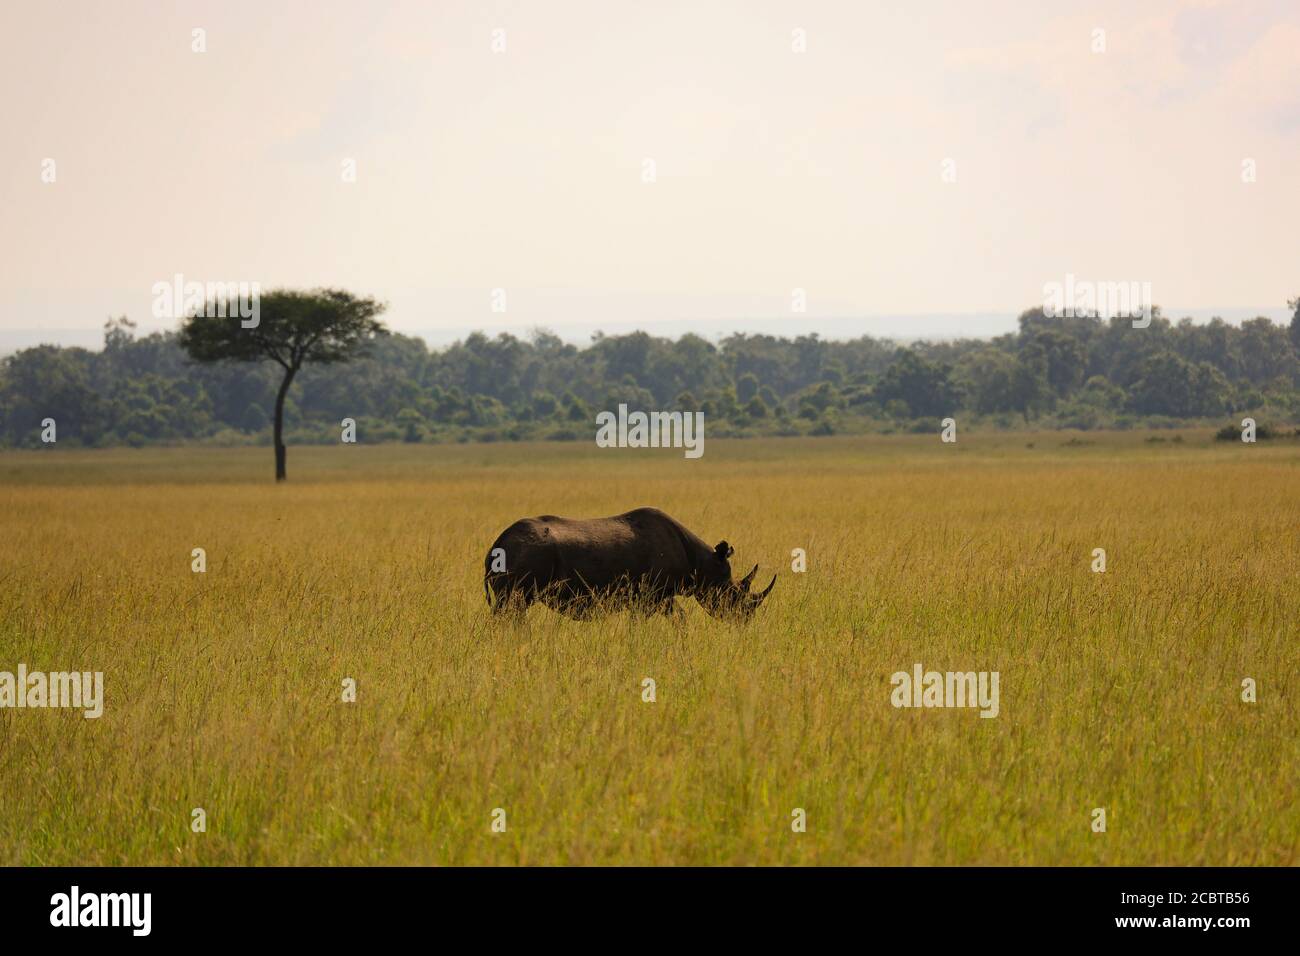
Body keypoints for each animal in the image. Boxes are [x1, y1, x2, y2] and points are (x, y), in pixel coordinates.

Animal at [484, 507, 776, 621]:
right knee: (514, 608)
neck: (703, 565)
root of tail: (495, 546)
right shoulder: (649, 595)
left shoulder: (660, 595)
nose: (744, 621)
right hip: (525, 558)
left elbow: (679, 618)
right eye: (733, 595)